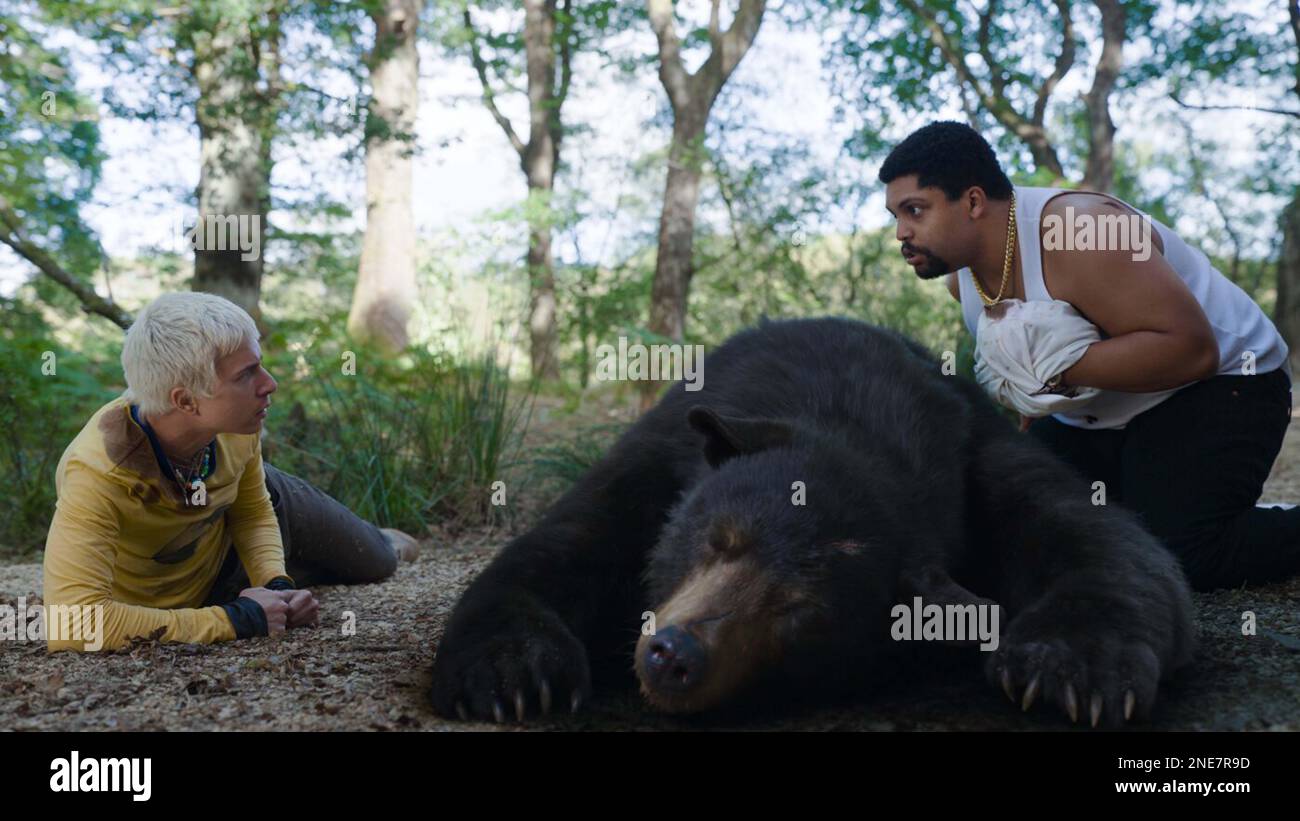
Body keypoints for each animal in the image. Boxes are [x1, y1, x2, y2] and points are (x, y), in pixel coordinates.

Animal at [429, 316, 1196, 727]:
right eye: (718, 540)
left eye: (799, 610)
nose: (674, 653)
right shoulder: (664, 452)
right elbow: (562, 544)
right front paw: (517, 672)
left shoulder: (978, 448)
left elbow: (1103, 538)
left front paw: (1072, 668)